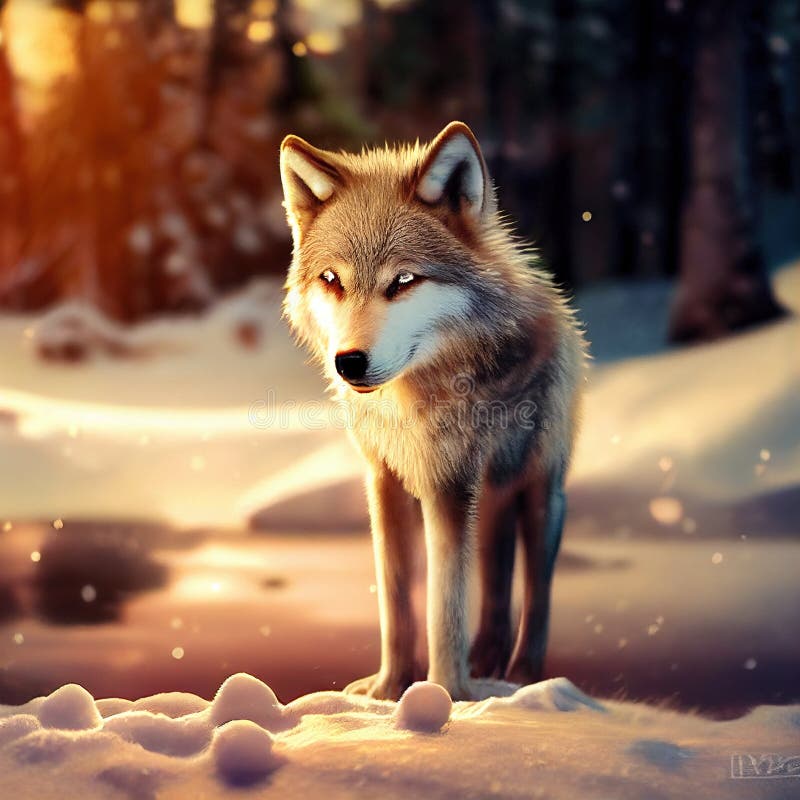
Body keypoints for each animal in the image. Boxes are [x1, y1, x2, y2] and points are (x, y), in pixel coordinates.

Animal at [279, 121, 586, 701]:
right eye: (332, 279)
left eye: (403, 281)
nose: (349, 362)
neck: (410, 405)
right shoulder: (384, 478)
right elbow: (396, 598)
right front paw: (388, 691)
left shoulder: (450, 482)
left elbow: (445, 601)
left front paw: (446, 696)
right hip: (493, 499)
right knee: (495, 582)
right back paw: (488, 665)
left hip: (539, 489)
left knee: (537, 593)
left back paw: (523, 679)